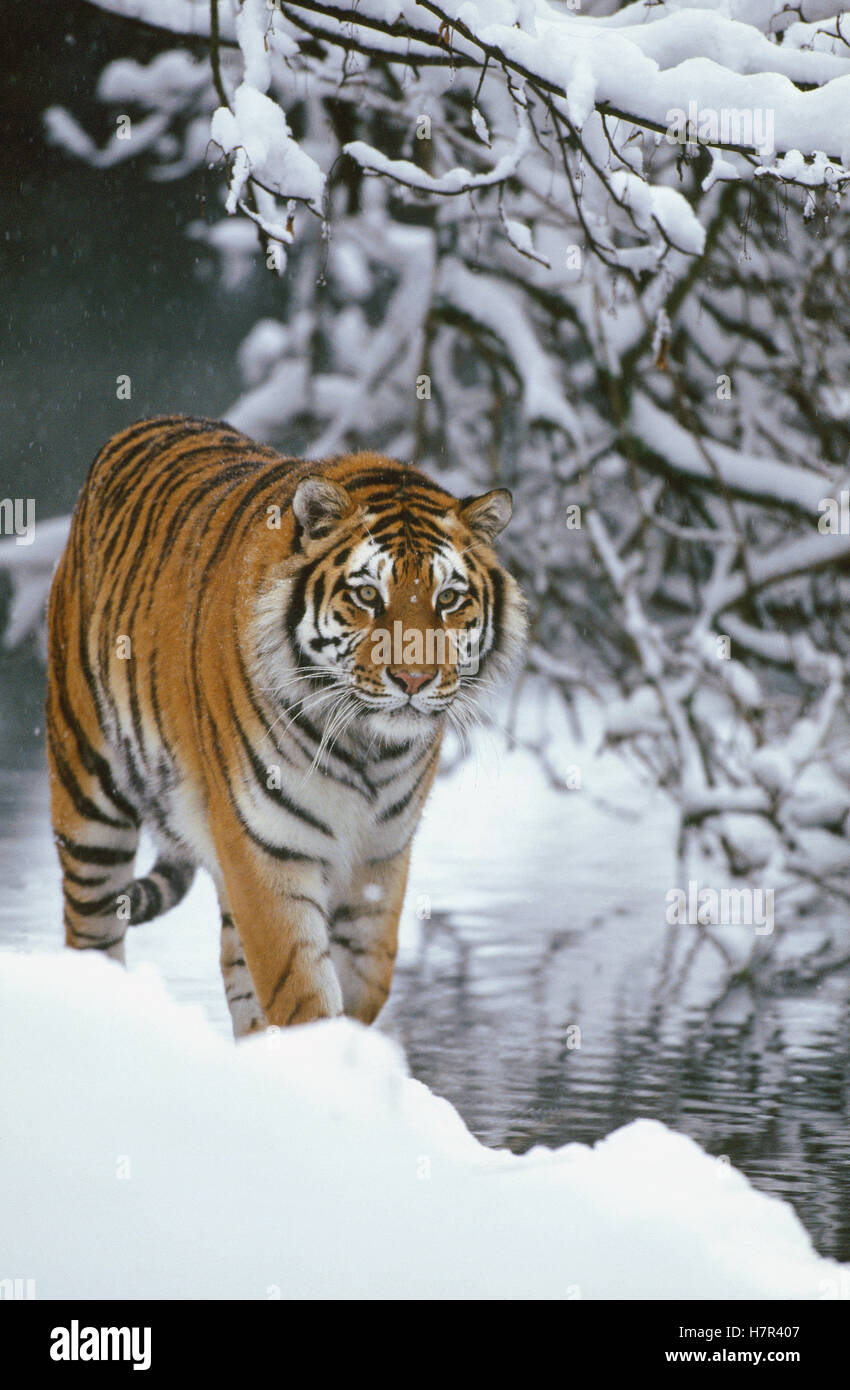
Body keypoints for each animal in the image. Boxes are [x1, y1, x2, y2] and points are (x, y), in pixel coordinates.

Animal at [46, 416, 526, 1035]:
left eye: (448, 599)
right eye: (367, 595)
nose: (414, 678)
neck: (369, 748)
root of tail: (140, 426)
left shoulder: (380, 857)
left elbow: (363, 982)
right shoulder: (266, 848)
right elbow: (302, 992)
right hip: (88, 798)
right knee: (92, 935)